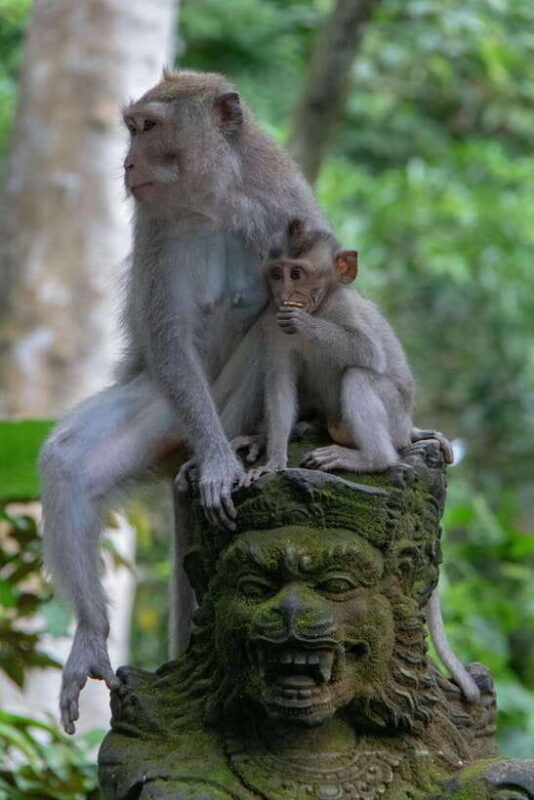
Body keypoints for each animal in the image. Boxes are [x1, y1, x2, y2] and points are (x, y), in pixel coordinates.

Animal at [39, 70, 325, 733]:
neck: (212, 197)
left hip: (226, 401)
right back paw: (91, 634)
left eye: (149, 128)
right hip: (173, 412)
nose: (127, 163)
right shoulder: (155, 227)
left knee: (268, 334)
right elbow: (168, 337)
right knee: (68, 463)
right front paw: (220, 464)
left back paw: (256, 442)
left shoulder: (285, 203)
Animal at [238, 219, 480, 704]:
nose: (284, 293)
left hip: (392, 418)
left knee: (360, 375)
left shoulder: (346, 309)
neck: (324, 302)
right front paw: (272, 459)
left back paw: (369, 458)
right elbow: (280, 385)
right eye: (277, 273)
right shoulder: (272, 326)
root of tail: (403, 434)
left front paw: (307, 323)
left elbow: (367, 353)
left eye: (298, 273)